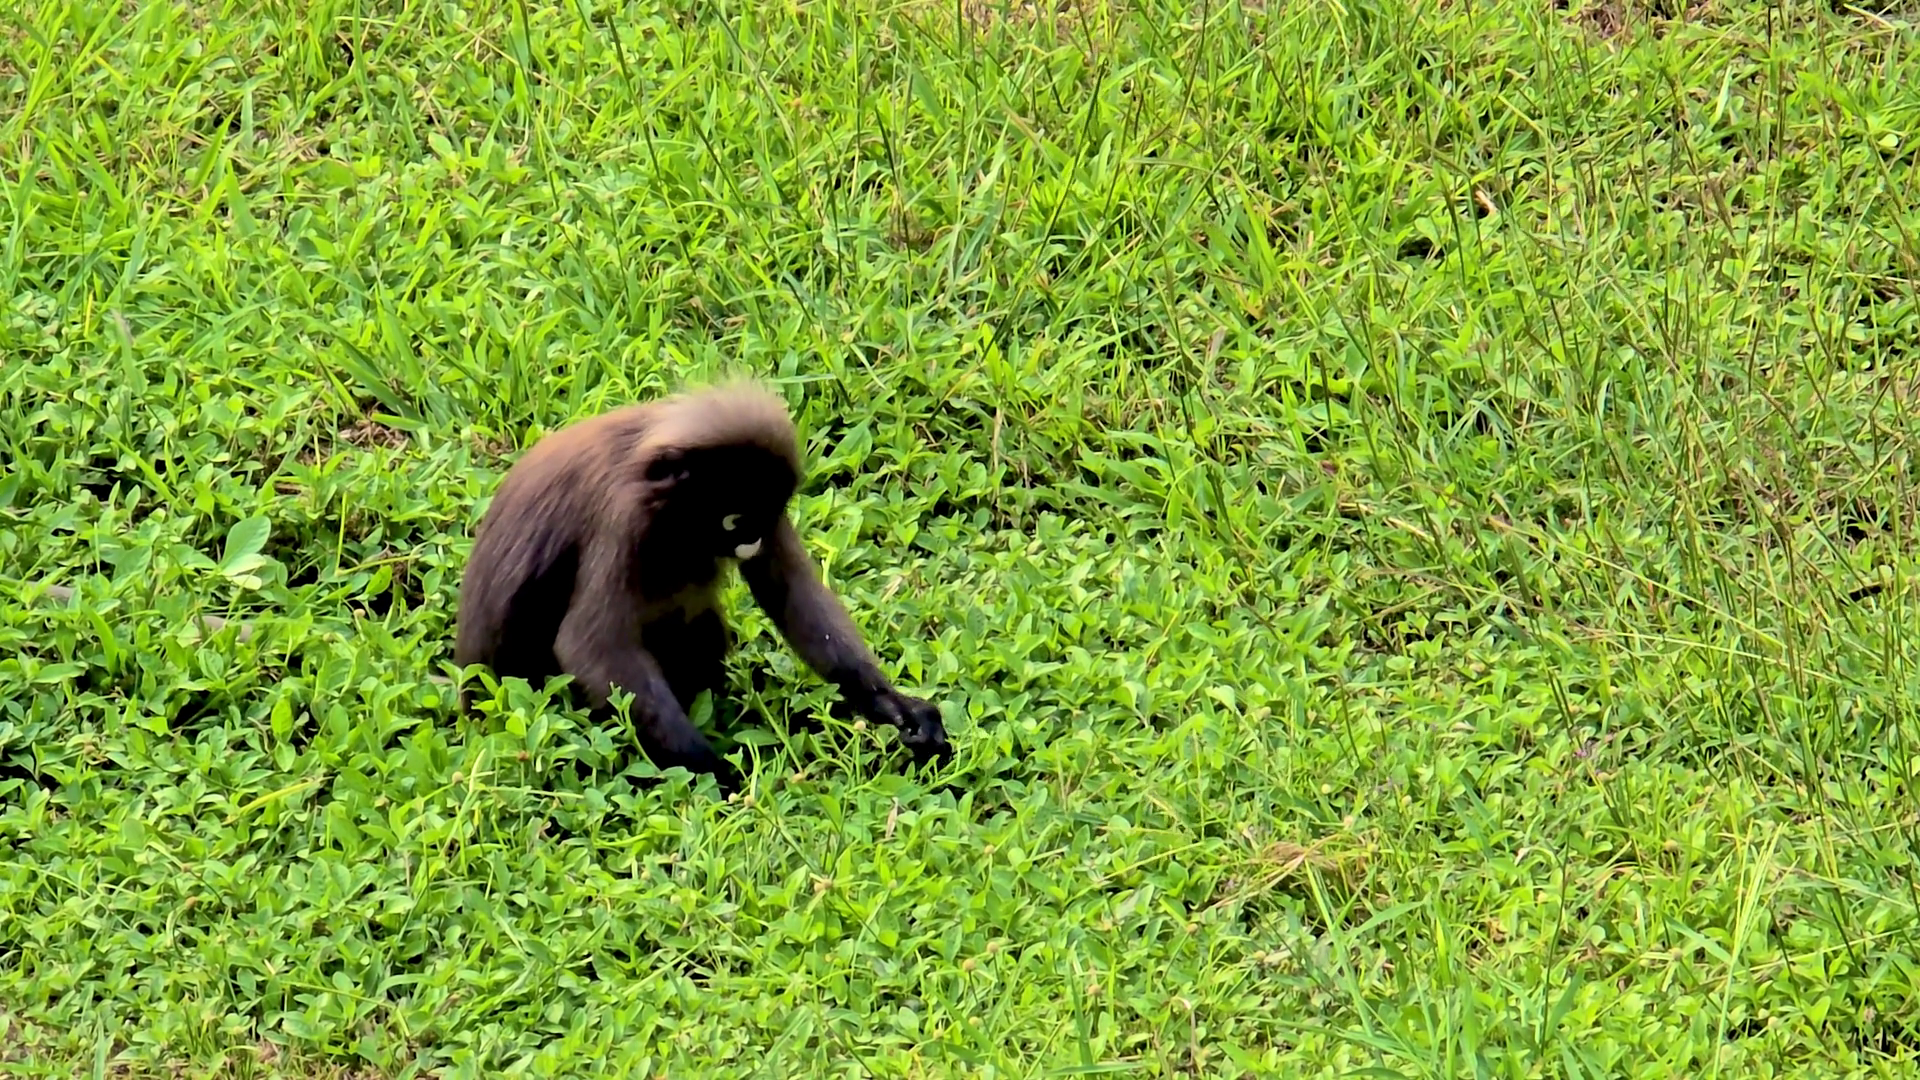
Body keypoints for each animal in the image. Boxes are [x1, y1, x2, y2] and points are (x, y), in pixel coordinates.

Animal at [451, 381, 951, 794]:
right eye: (733, 519)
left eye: (763, 519)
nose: (751, 543)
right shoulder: (624, 515)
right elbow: (591, 644)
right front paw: (715, 772)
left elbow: (791, 593)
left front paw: (893, 706)